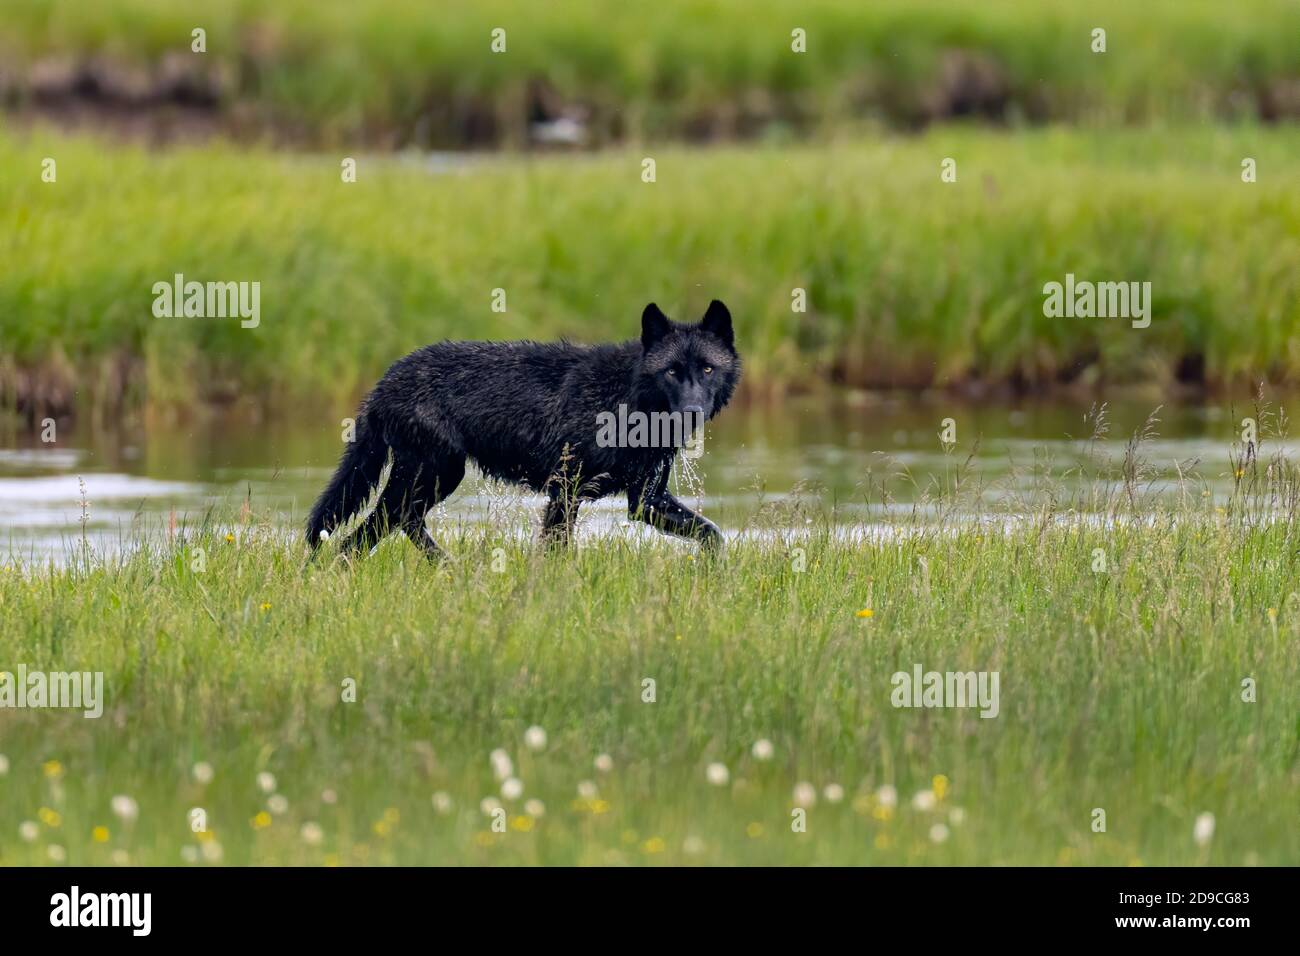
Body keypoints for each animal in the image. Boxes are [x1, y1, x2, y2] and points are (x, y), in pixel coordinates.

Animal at [306, 300, 740, 557]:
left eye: (706, 369)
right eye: (672, 372)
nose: (693, 410)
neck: (626, 397)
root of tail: (385, 382)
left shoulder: (645, 500)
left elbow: (713, 535)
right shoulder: (566, 491)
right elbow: (556, 552)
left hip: (429, 477)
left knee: (384, 528)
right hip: (437, 473)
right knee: (381, 525)